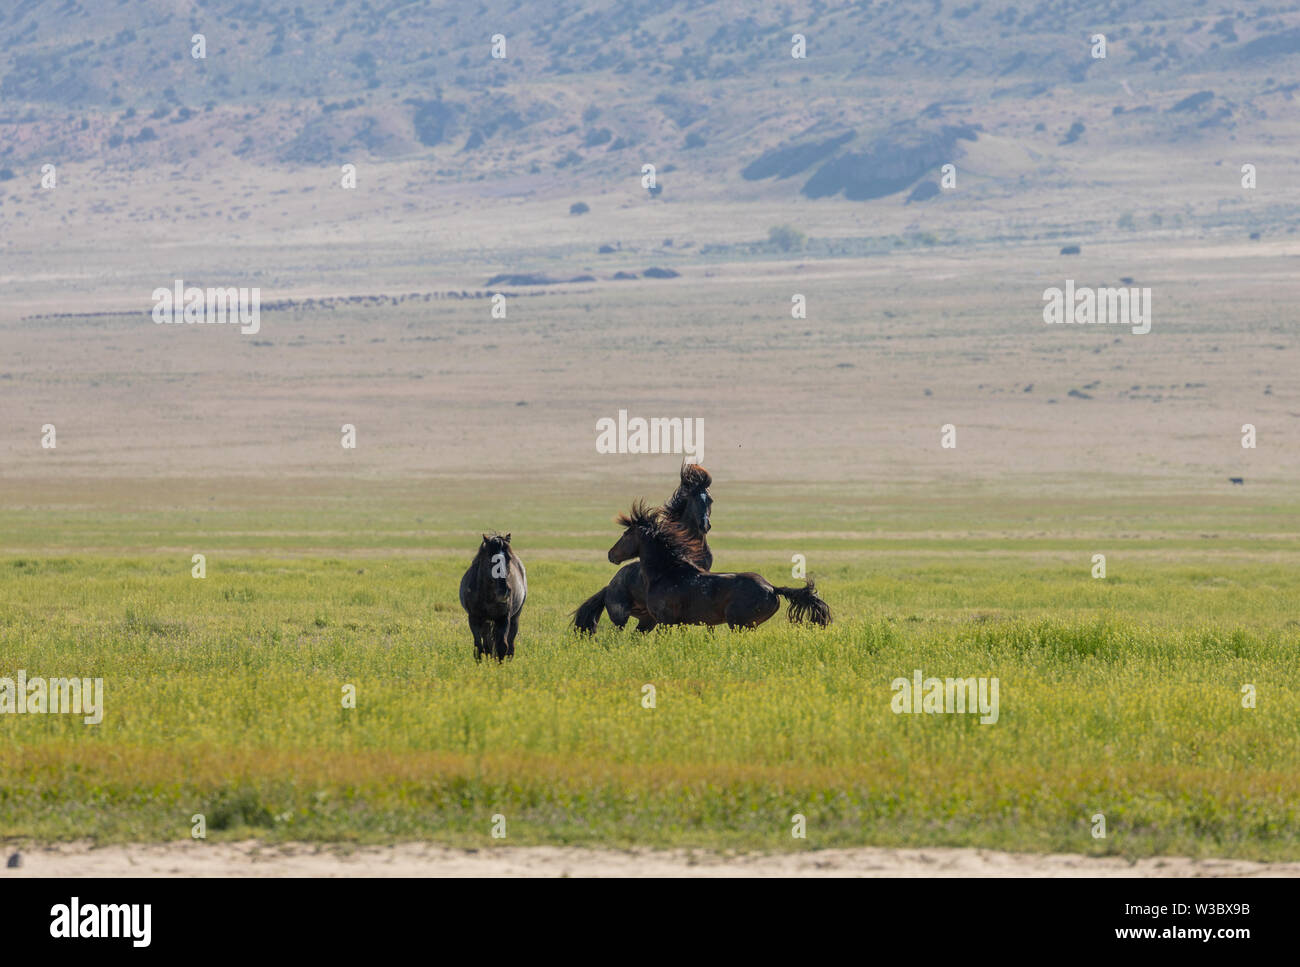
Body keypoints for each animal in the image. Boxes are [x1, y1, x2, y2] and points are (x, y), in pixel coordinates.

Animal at [458, 533, 527, 661]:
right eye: (492, 559)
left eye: (509, 558)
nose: (504, 592)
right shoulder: (474, 618)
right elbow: (478, 648)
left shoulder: (504, 618)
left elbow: (502, 646)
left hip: (514, 618)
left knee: (510, 644)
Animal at [572, 464, 713, 634]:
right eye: (694, 499)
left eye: (710, 500)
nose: (704, 524)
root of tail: (608, 587)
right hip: (621, 618)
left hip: (647, 620)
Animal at [606, 502, 831, 630]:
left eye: (626, 534)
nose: (611, 554)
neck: (666, 573)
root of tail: (772, 588)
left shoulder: (665, 621)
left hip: (738, 624)